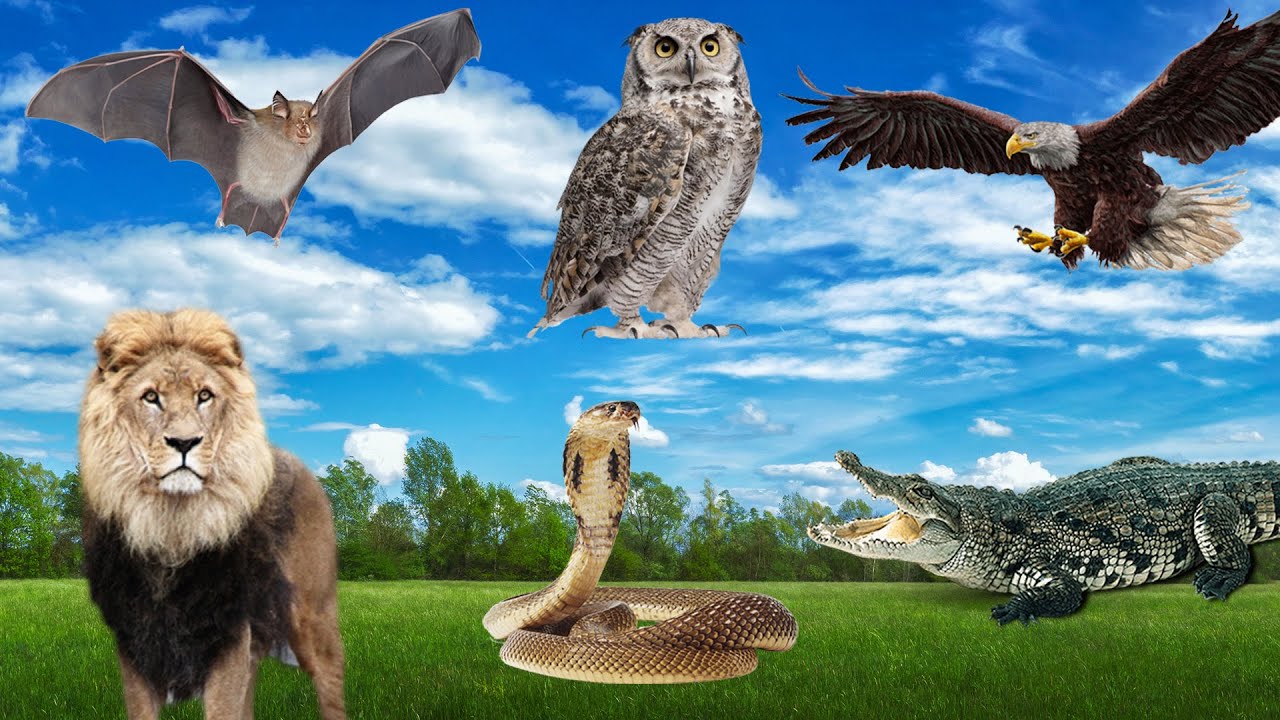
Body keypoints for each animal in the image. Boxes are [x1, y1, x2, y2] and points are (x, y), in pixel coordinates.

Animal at [78, 308, 345, 719]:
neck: (171, 525)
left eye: (204, 396)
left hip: (313, 619)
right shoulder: (135, 641)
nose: (184, 442)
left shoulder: (228, 634)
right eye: (151, 397)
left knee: (331, 688)